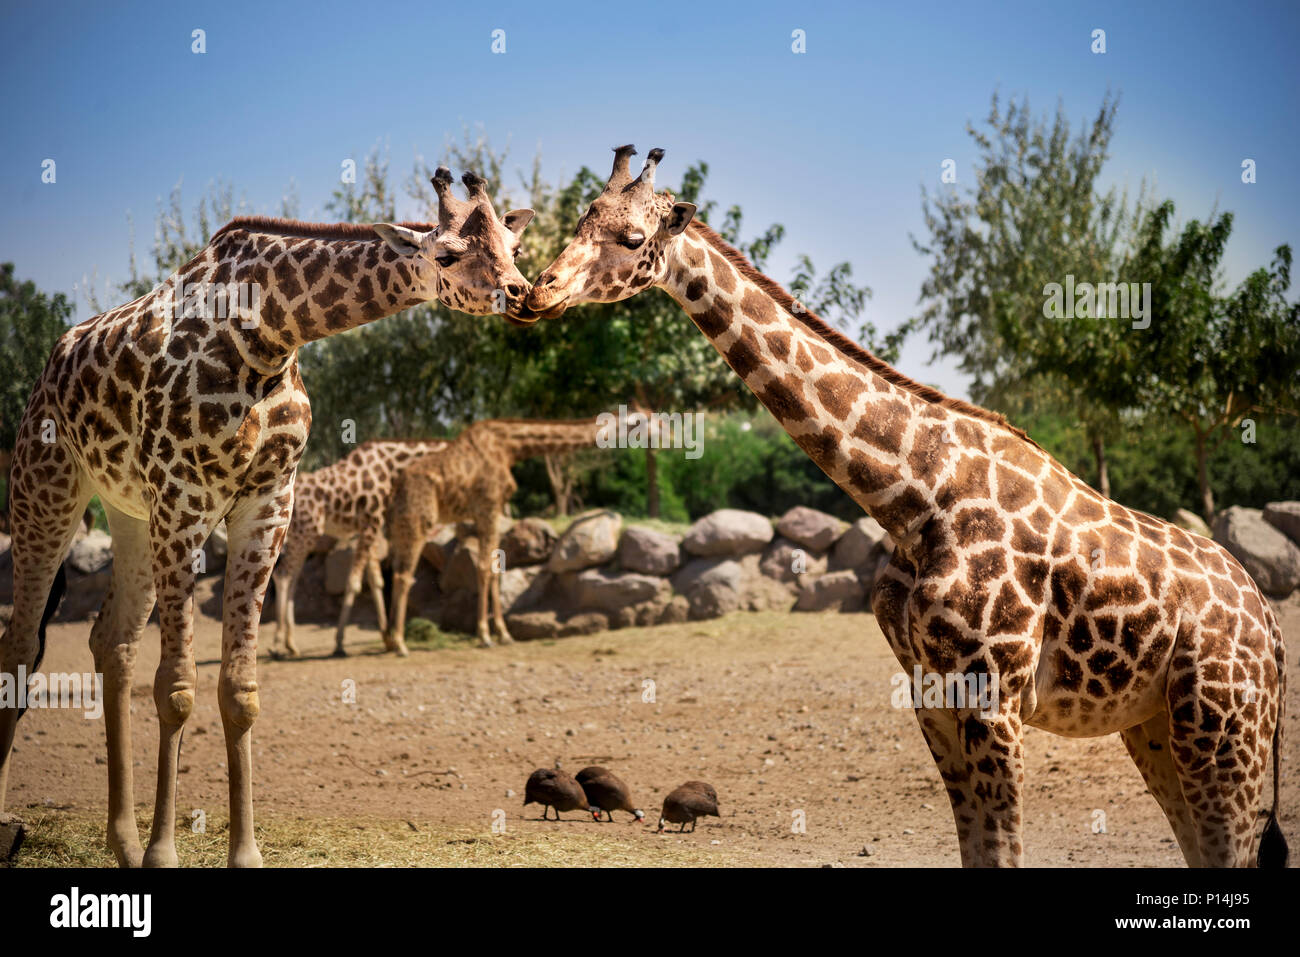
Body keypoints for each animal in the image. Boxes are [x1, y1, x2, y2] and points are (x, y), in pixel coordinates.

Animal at [270, 437, 449, 659]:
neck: (394, 466)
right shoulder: (372, 522)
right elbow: (354, 582)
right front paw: (339, 643)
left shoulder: (369, 526)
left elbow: (376, 582)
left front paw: (388, 639)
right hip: (307, 532)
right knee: (283, 575)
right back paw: (277, 644)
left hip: (300, 534)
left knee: (292, 579)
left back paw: (291, 644)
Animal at [386, 417, 605, 649]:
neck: (509, 447)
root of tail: (396, 489)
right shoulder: (487, 507)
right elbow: (484, 567)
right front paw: (485, 635)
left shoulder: (494, 510)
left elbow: (496, 567)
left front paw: (503, 633)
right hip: (418, 523)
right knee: (403, 575)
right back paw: (400, 643)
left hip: (400, 527)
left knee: (395, 571)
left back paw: (390, 640)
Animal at [519, 146, 1288, 868]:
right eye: (581, 218)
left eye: (631, 237)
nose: (536, 291)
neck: (913, 496)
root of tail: (1271, 626)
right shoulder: (932, 696)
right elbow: (976, 849)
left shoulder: (993, 699)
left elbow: (1003, 850)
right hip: (1155, 725)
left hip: (1223, 726)